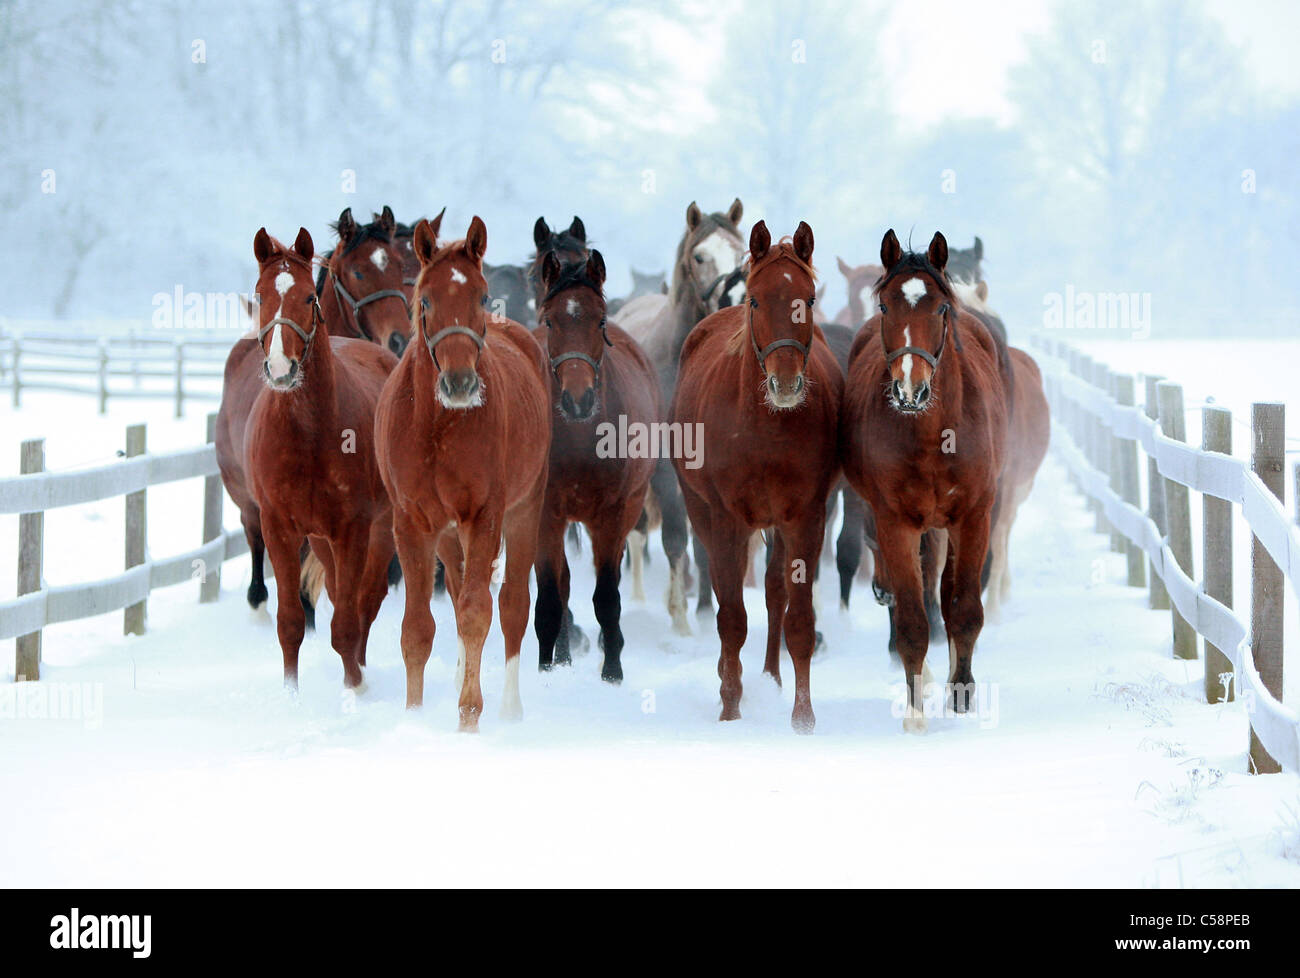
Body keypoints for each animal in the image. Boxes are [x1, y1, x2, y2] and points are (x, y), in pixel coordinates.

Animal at [240, 228, 399, 688]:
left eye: (309, 296)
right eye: (260, 295)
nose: (281, 368)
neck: (308, 433)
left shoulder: (353, 530)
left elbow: (347, 619)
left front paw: (356, 687)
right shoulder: (280, 528)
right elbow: (292, 622)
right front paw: (292, 693)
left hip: (381, 527)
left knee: (367, 598)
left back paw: (360, 667)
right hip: (320, 539)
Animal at [375, 216, 552, 731]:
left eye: (481, 295)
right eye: (426, 300)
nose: (459, 382)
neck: (437, 425)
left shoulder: (485, 517)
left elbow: (477, 613)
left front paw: (469, 717)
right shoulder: (412, 523)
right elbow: (418, 627)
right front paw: (413, 716)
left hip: (524, 511)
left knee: (512, 605)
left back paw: (510, 709)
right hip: (450, 535)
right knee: (454, 595)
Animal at [531, 249, 660, 682]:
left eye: (599, 320)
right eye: (550, 320)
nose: (578, 399)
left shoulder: (612, 514)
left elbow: (607, 596)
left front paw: (612, 673)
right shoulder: (545, 515)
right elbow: (550, 597)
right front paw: (546, 672)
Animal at [671, 220, 843, 732]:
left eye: (808, 299)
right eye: (755, 300)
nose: (785, 383)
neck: (766, 426)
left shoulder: (805, 517)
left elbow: (797, 616)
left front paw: (803, 718)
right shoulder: (727, 518)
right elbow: (731, 617)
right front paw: (730, 707)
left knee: (773, 592)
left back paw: (770, 678)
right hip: (701, 511)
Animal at [841, 229, 1008, 732]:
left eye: (940, 308)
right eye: (884, 306)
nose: (909, 389)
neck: (934, 434)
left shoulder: (972, 517)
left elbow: (964, 608)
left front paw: (962, 694)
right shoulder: (895, 522)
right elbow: (913, 618)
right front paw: (915, 712)